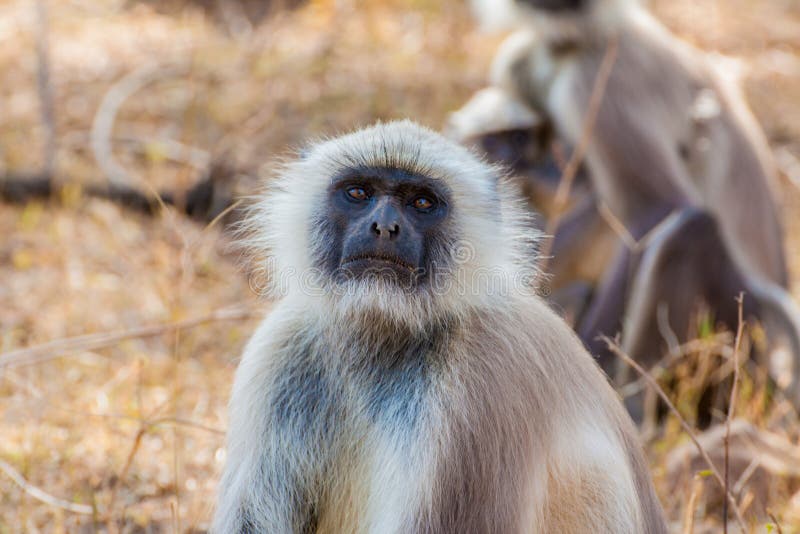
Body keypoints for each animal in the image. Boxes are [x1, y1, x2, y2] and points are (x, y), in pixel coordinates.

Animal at [213, 121, 667, 533]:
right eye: (358, 193)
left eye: (422, 202)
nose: (384, 227)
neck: (384, 336)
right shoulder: (283, 345)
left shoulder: (481, 376)